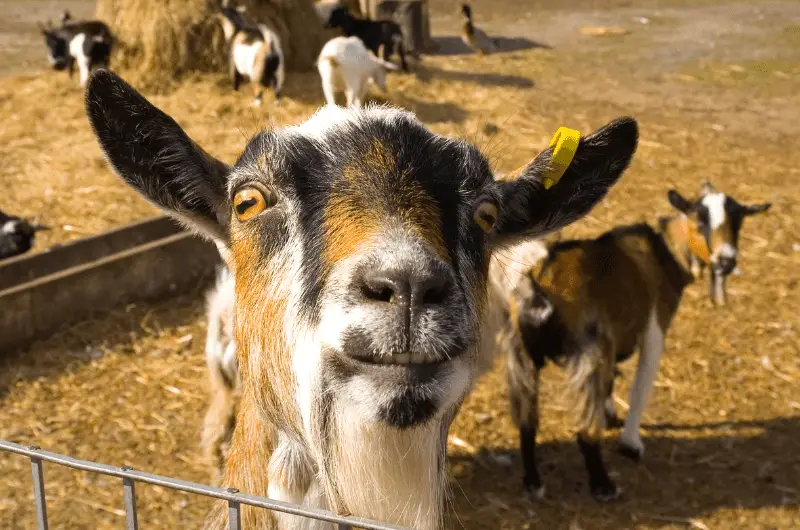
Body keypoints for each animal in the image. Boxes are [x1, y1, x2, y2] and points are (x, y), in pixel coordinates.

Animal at [503, 182, 770, 502]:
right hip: (588, 352)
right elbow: (640, 388)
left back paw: (533, 481)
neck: (663, 255)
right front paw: (631, 443)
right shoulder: (653, 329)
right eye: (699, 219)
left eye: (739, 220)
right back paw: (603, 484)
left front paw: (611, 415)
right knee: (585, 431)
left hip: (521, 354)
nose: (727, 260)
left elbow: (611, 383)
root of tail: (537, 288)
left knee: (527, 422)